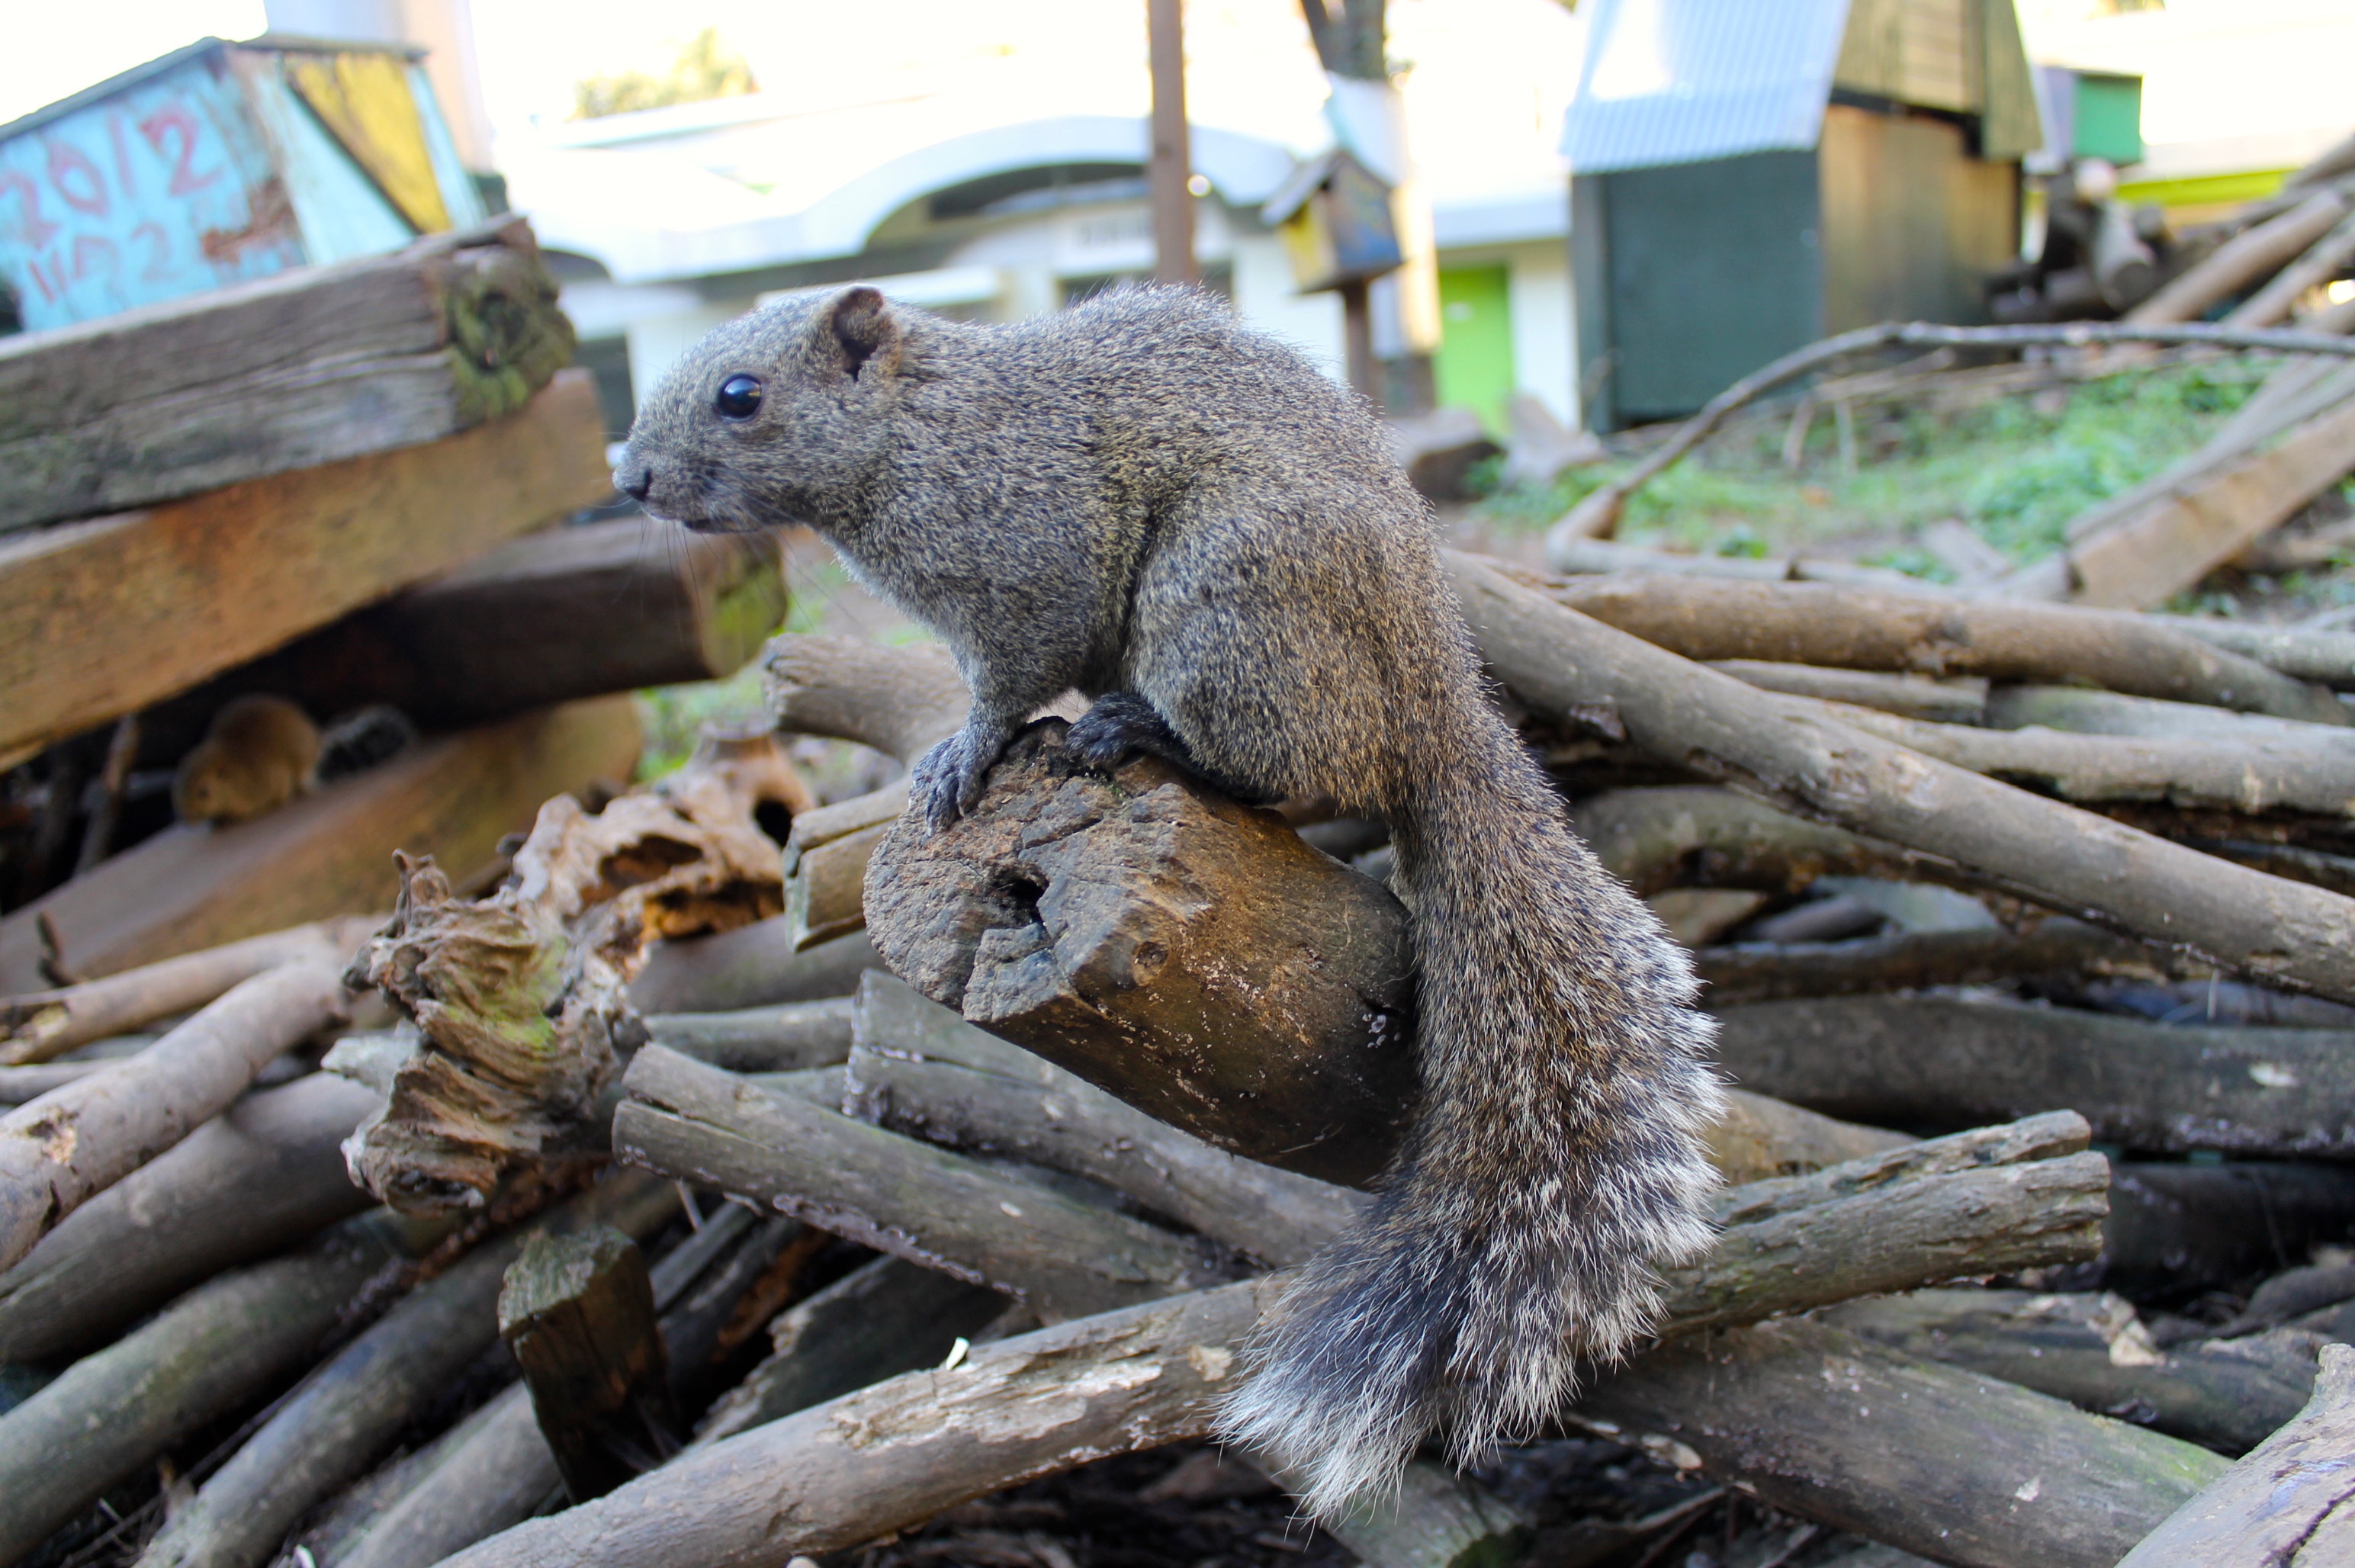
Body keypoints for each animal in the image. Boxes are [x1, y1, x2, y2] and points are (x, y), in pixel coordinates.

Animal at [616, 285, 1723, 1515]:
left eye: (741, 395)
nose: (630, 479)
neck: (919, 432)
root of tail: (1431, 704)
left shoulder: (1028, 558)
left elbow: (1011, 677)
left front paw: (966, 753)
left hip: (1226, 604)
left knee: (1290, 770)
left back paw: (1144, 737)